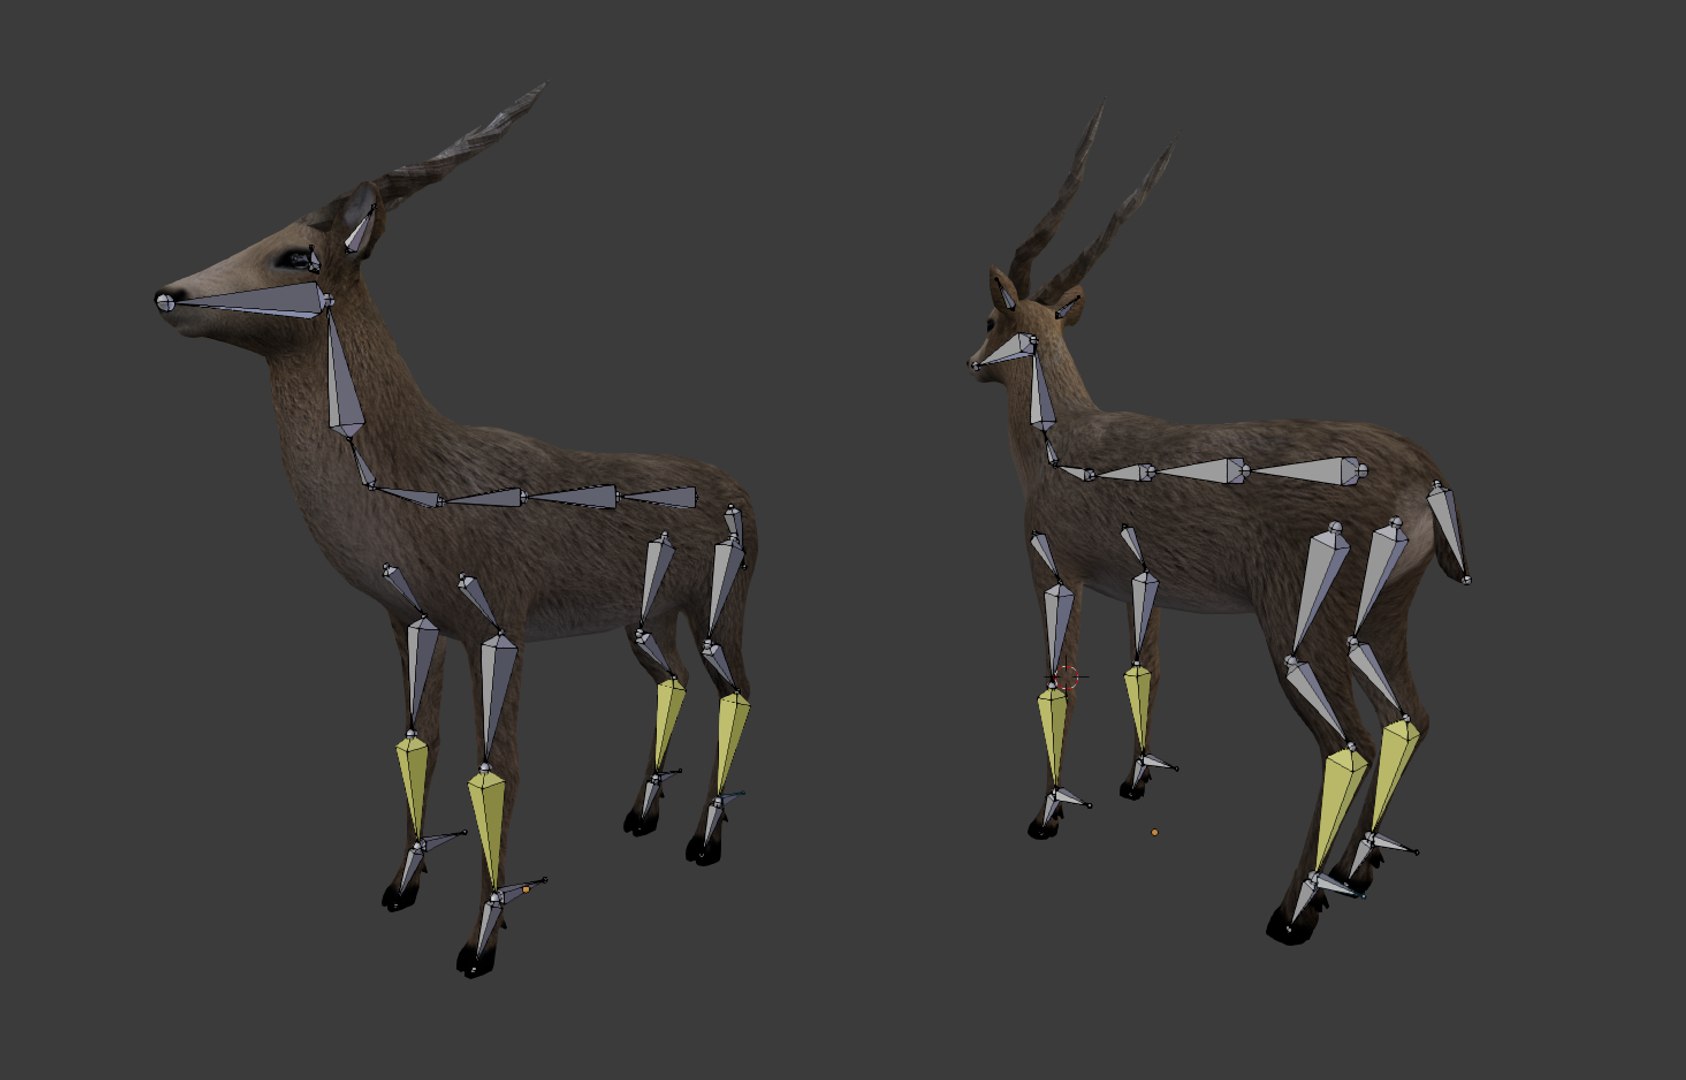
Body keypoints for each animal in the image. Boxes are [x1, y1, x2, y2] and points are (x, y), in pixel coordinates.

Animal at [152, 84, 762, 979]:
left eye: (296, 254)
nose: (171, 294)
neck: (421, 480)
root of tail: (749, 493)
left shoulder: (498, 627)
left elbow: (496, 770)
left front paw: (477, 945)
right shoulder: (413, 621)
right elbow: (416, 743)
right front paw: (398, 887)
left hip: (720, 609)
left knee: (737, 688)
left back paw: (704, 842)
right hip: (644, 621)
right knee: (676, 680)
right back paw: (640, 816)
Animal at [966, 106, 1472, 945]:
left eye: (988, 315)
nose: (968, 361)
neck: (1058, 443)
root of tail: (1428, 475)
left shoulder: (1054, 569)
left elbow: (1060, 679)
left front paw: (1045, 818)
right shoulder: (1147, 585)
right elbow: (1146, 667)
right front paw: (1134, 781)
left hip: (1302, 624)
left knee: (1351, 743)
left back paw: (1293, 912)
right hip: (1384, 614)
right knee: (1414, 718)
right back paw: (1358, 870)